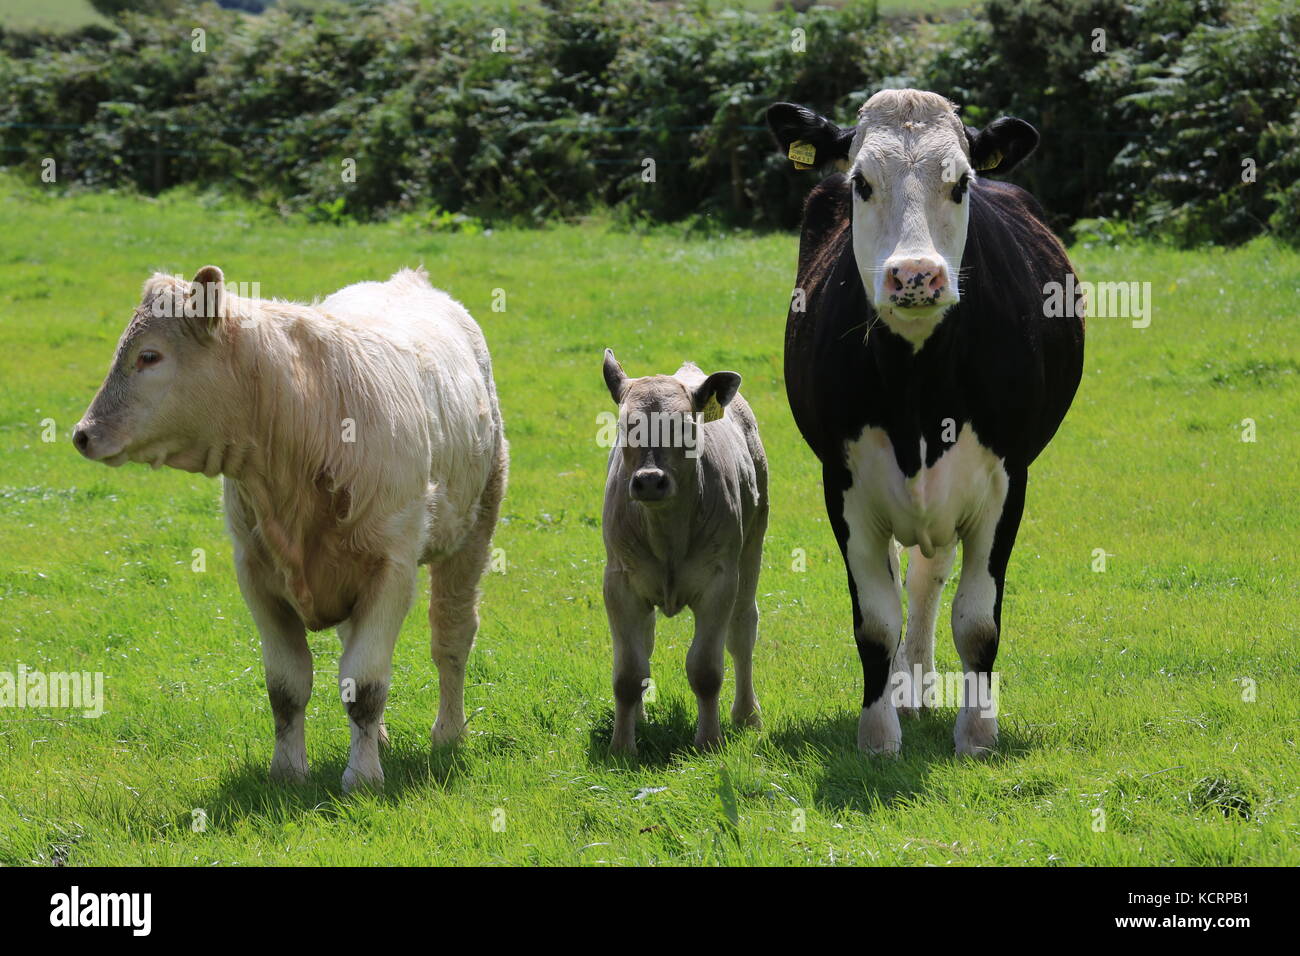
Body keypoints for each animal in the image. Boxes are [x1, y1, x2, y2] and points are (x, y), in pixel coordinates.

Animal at [73, 266, 508, 792]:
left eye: (149, 356)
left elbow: (366, 684)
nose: (82, 434)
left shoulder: (392, 569)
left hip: (474, 531)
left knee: (452, 637)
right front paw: (286, 771)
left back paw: (449, 732)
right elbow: (286, 686)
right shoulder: (256, 575)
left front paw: (362, 778)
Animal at [600, 350, 768, 755]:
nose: (649, 480)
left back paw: (746, 714)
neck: (667, 533)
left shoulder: (719, 583)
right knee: (645, 642)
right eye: (626, 426)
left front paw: (709, 740)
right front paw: (622, 746)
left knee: (742, 631)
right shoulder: (619, 583)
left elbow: (706, 669)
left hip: (752, 549)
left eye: (683, 427)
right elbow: (629, 672)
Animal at [765, 89, 1085, 757]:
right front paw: (877, 733)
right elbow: (876, 621)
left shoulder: (1007, 480)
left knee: (929, 578)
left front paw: (978, 731)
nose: (915, 275)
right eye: (861, 182)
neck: (917, 383)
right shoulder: (842, 483)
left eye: (960, 183)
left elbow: (977, 619)